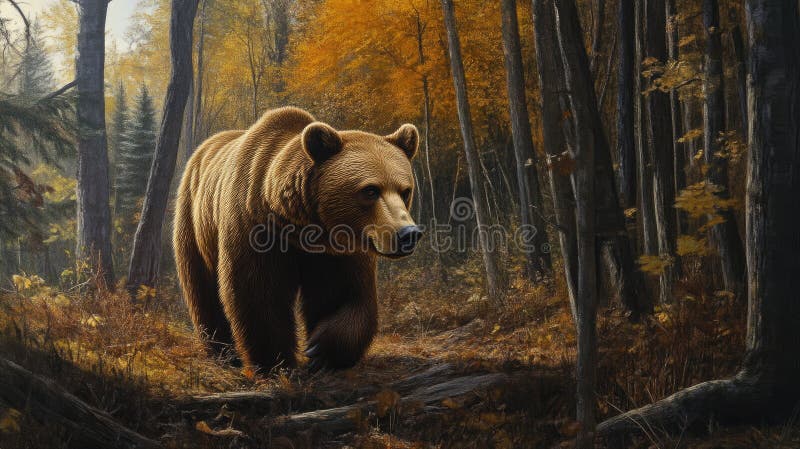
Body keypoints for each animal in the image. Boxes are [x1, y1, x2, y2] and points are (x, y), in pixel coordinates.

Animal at [173, 107, 422, 372]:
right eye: (370, 190)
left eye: (405, 190)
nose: (408, 234)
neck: (301, 228)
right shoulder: (255, 227)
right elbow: (257, 293)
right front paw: (276, 362)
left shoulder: (337, 251)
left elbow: (344, 294)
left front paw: (320, 350)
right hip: (193, 219)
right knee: (202, 288)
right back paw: (224, 353)